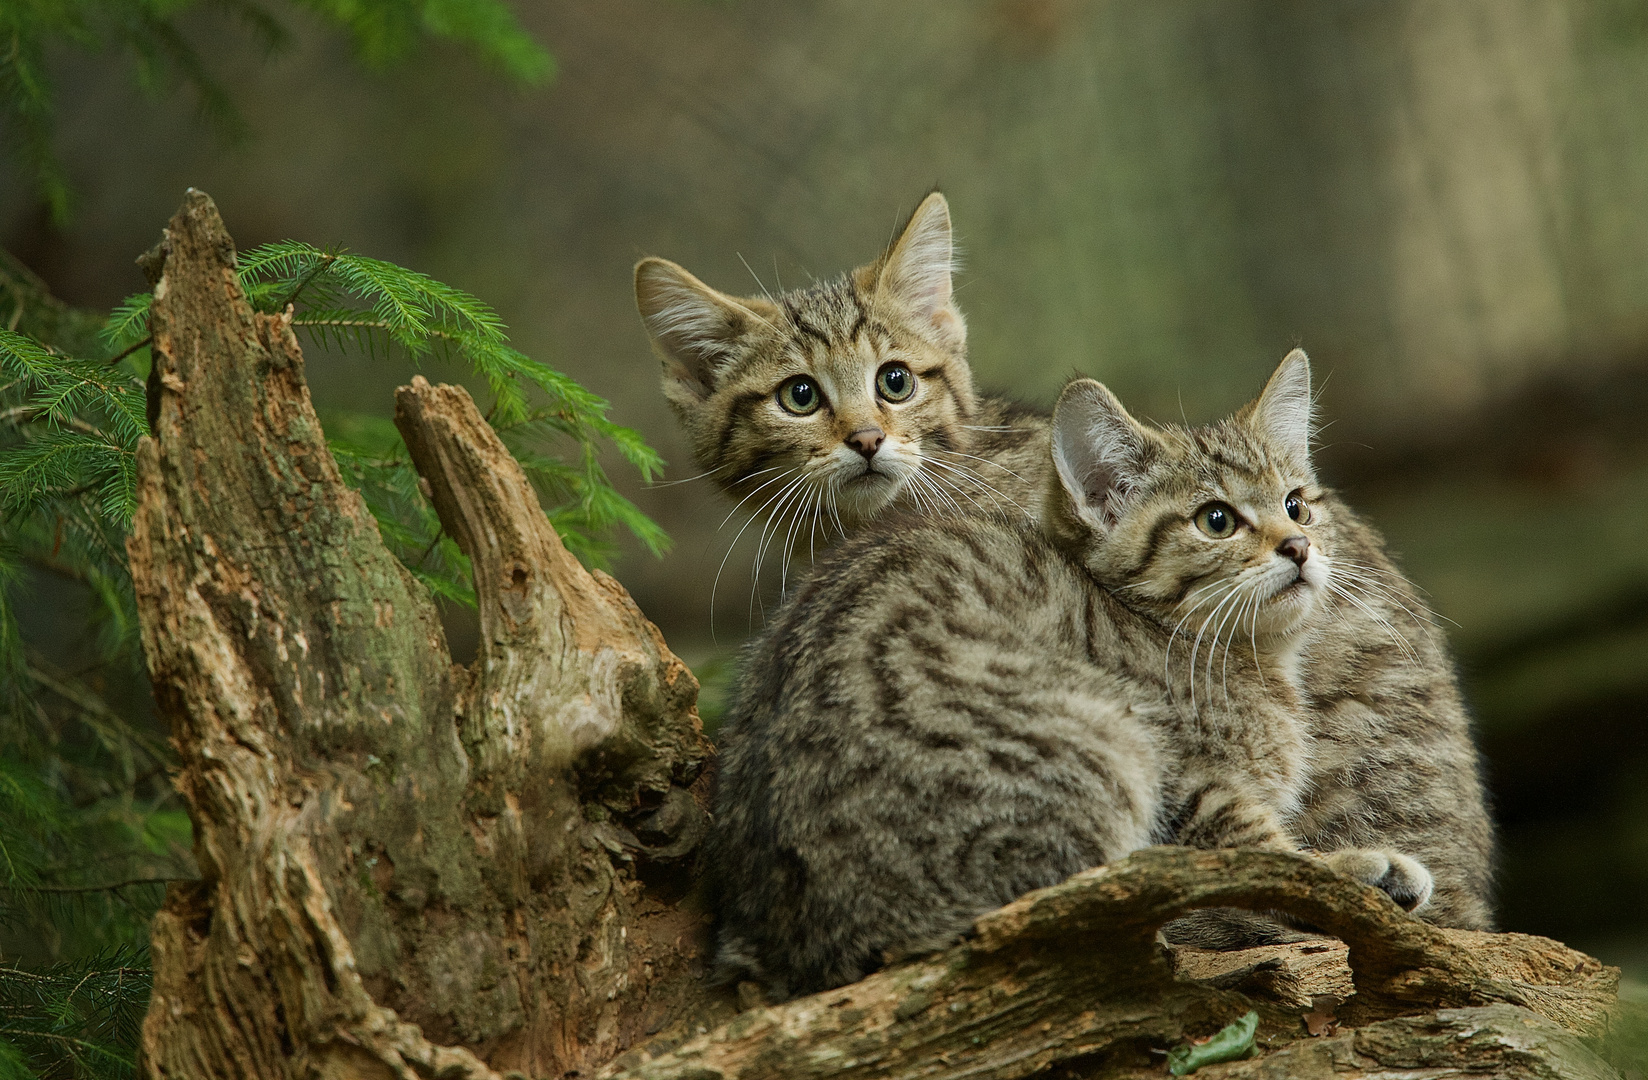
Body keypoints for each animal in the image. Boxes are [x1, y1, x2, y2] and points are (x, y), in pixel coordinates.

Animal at [715, 351, 1423, 1002]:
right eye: (1216, 520)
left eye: (1297, 505)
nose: (1299, 546)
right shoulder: (1186, 780)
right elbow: (1260, 860)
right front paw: (1355, 870)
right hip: (1100, 740)